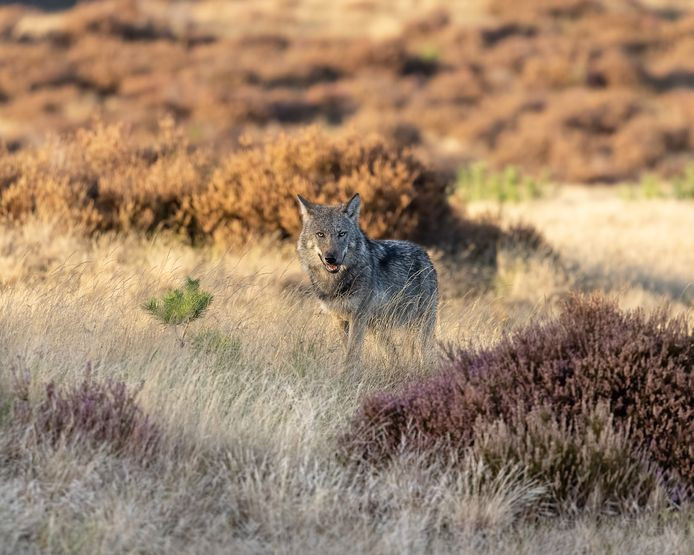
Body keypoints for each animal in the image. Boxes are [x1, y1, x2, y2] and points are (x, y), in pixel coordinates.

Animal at [296, 193, 438, 370]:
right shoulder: (338, 318)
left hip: (419, 327)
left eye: (341, 234)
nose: (331, 258)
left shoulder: (358, 316)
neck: (335, 281)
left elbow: (352, 353)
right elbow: (347, 350)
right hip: (378, 328)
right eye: (320, 234)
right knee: (394, 354)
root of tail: (425, 254)